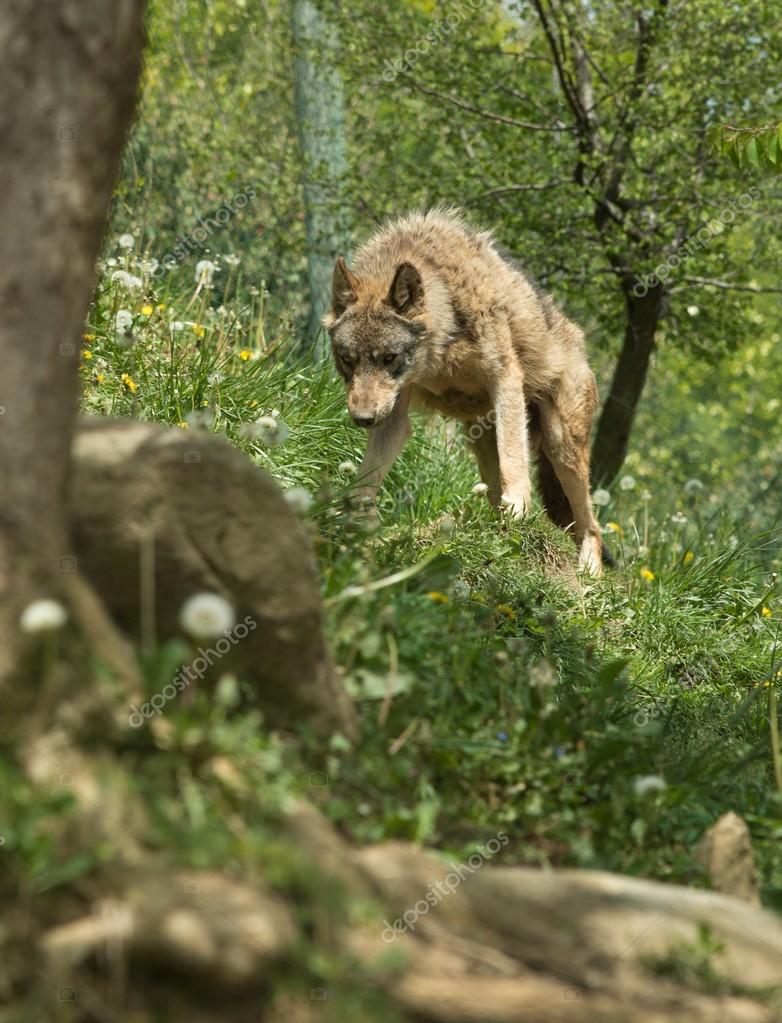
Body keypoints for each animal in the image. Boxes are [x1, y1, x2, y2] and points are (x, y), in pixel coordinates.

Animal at [323, 208, 604, 574]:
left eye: (389, 358)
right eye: (347, 360)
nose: (362, 418)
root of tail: (579, 342)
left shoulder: (505, 376)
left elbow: (513, 456)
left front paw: (518, 505)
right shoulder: (394, 417)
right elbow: (364, 483)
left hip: (562, 446)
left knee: (592, 526)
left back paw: (589, 573)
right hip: (482, 447)